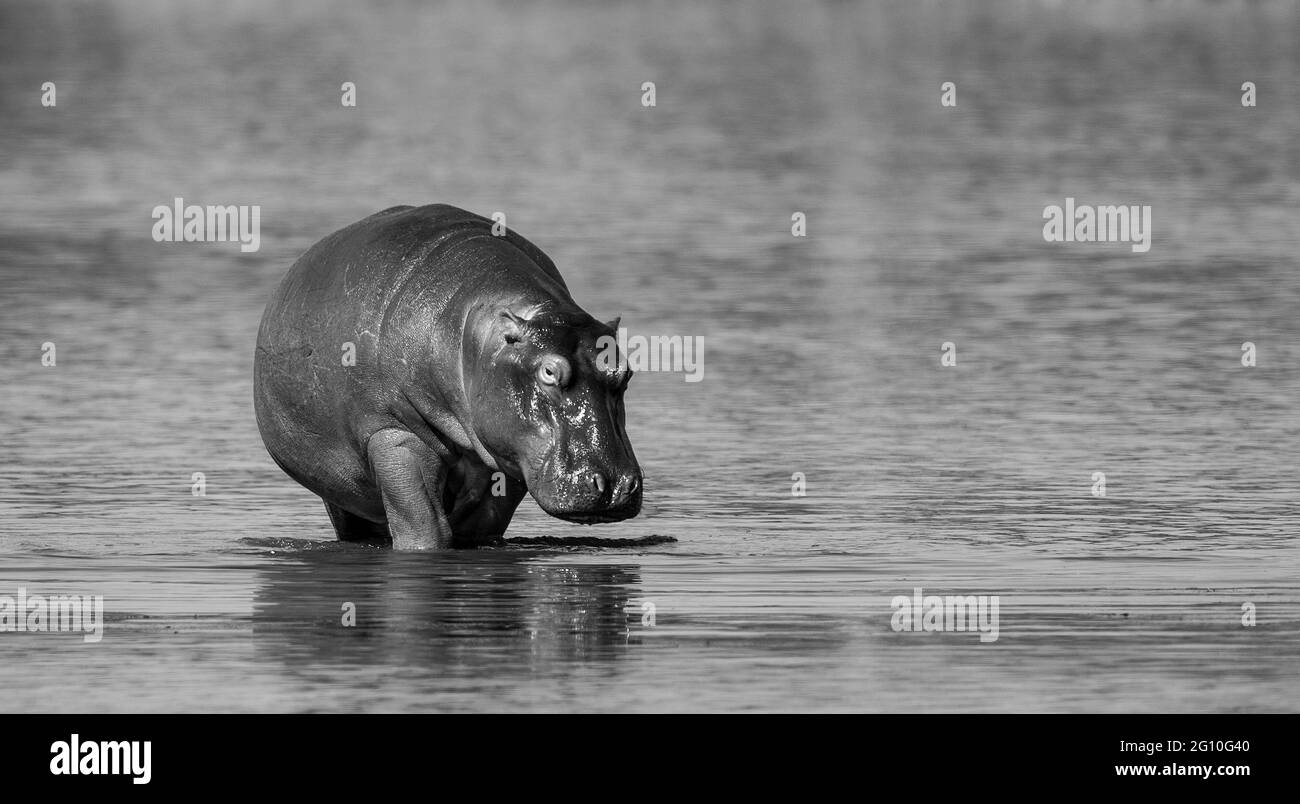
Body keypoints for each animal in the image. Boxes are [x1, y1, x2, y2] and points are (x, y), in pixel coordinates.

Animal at [253, 204, 642, 550]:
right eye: (549, 370)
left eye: (625, 371)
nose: (614, 484)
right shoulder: (395, 435)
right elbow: (426, 527)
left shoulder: (506, 458)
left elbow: (481, 526)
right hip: (338, 487)